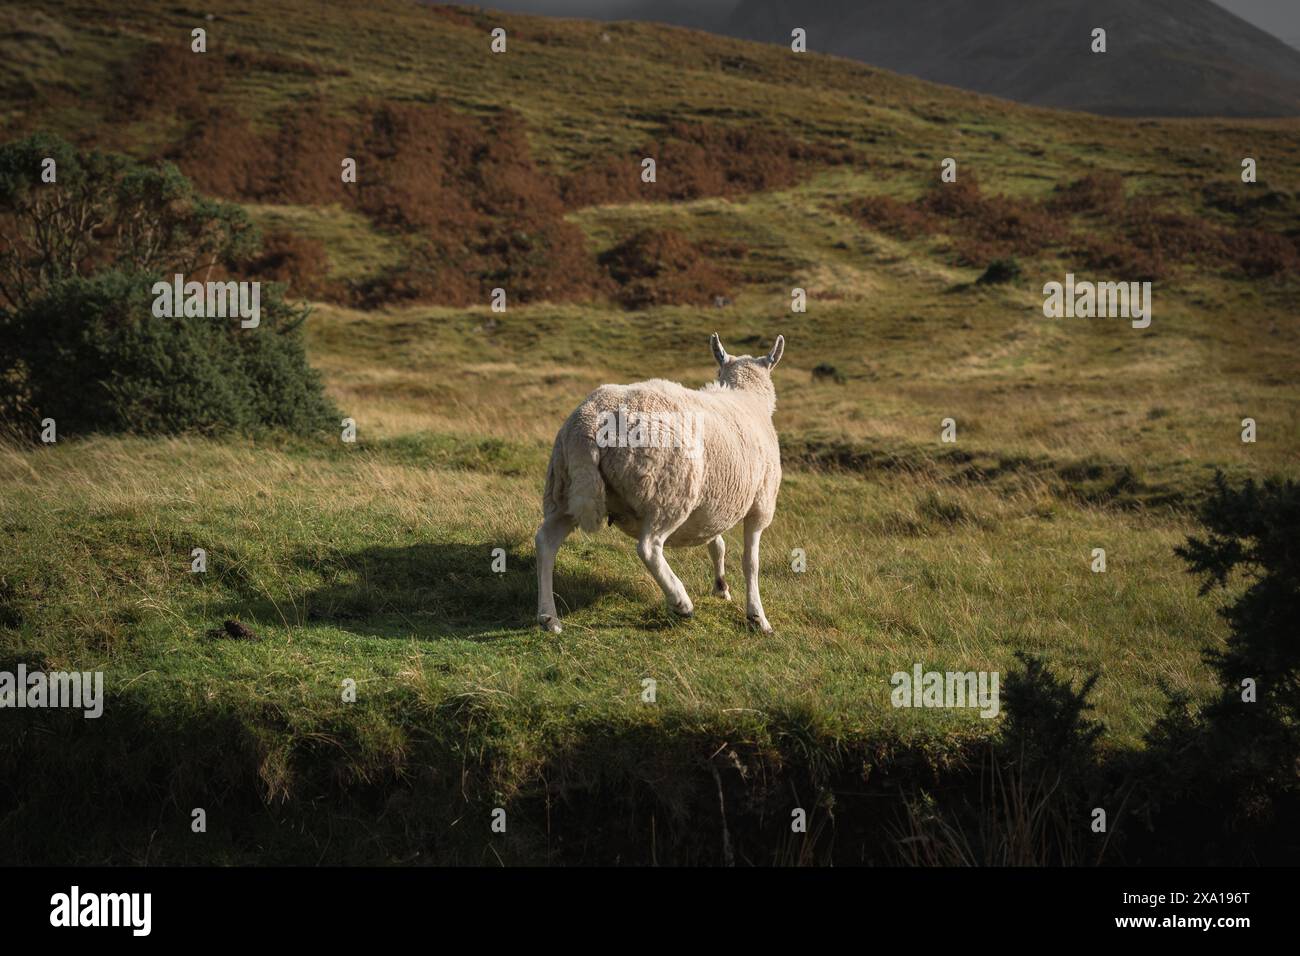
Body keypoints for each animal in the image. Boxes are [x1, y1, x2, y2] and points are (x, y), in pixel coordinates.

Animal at [535, 333, 784, 635]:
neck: (747, 397)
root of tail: (589, 424)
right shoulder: (761, 505)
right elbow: (751, 562)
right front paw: (758, 617)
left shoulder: (713, 505)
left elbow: (717, 545)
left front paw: (721, 588)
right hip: (668, 492)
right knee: (649, 547)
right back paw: (681, 601)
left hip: (564, 487)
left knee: (546, 542)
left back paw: (548, 617)